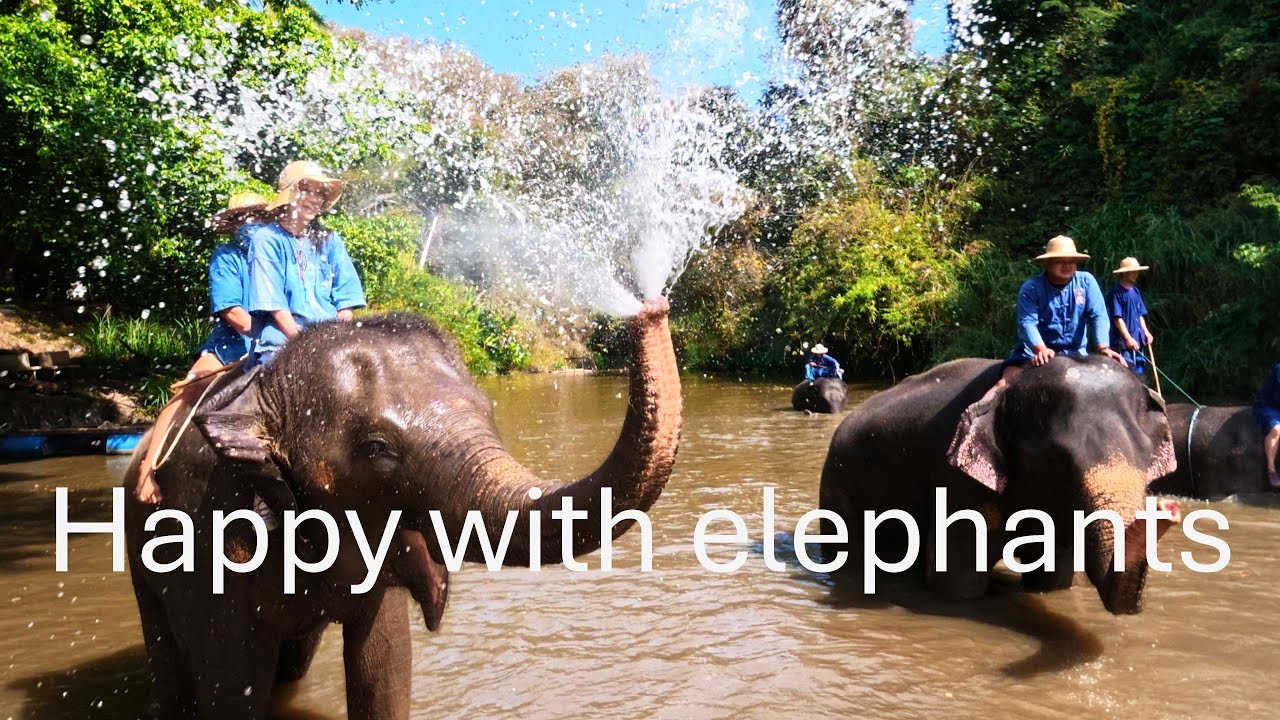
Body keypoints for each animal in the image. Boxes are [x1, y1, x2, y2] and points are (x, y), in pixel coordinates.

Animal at [123, 298, 682, 719]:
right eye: (377, 449)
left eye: (488, 411)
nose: (652, 307)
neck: (268, 389)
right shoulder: (211, 535)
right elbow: (231, 684)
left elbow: (385, 667)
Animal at [818, 355, 1179, 615]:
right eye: (1059, 459)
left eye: (1147, 457)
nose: (1170, 508)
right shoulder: (956, 481)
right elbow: (956, 580)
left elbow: (1054, 575)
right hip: (836, 487)